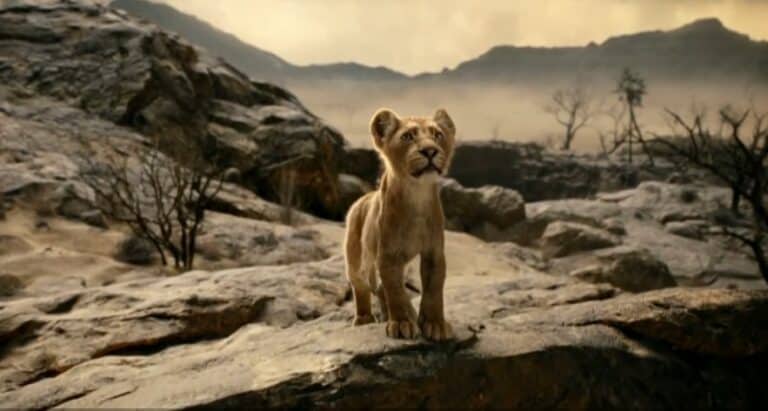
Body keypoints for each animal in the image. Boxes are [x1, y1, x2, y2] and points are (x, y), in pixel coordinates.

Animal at [344, 108, 456, 341]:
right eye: (407, 136)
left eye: (437, 134)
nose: (430, 151)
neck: (416, 196)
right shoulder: (388, 255)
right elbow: (395, 291)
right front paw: (403, 322)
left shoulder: (434, 252)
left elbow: (434, 288)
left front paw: (435, 324)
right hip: (355, 258)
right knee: (362, 287)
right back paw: (364, 318)